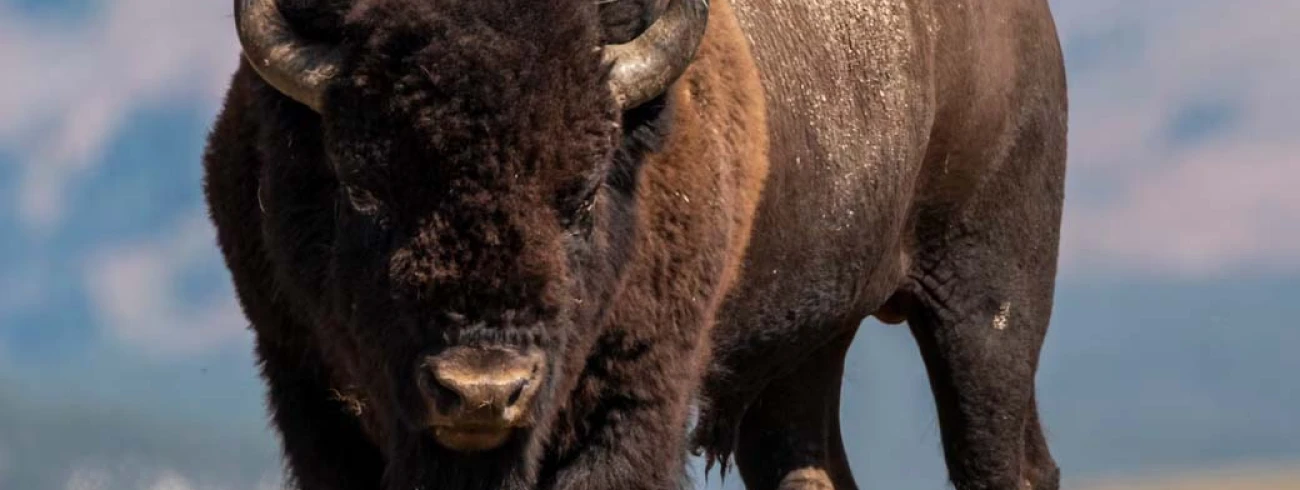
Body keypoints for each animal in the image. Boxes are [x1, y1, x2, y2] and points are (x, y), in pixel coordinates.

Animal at [203, 0, 1067, 488]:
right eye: (362, 188)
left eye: (582, 191)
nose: (483, 389)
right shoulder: (307, 383)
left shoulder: (639, 392)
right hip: (806, 350)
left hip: (985, 308)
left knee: (1003, 460)